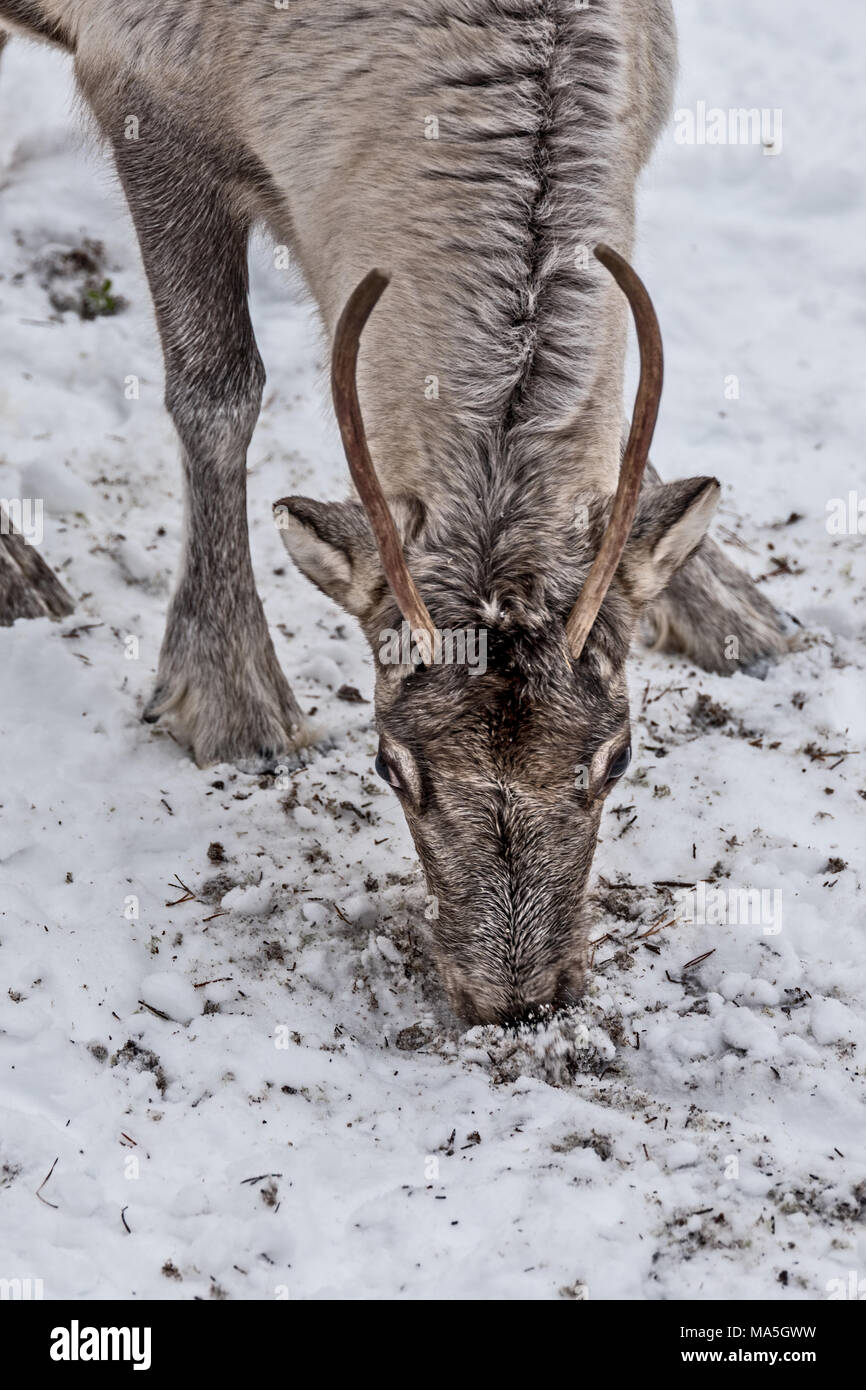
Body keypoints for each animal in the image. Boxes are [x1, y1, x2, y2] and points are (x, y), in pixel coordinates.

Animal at [0, 1, 789, 1025]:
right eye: (387, 764)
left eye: (617, 758)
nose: (516, 1001)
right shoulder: (143, 94)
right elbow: (218, 390)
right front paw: (231, 699)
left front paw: (734, 611)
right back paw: (22, 574)